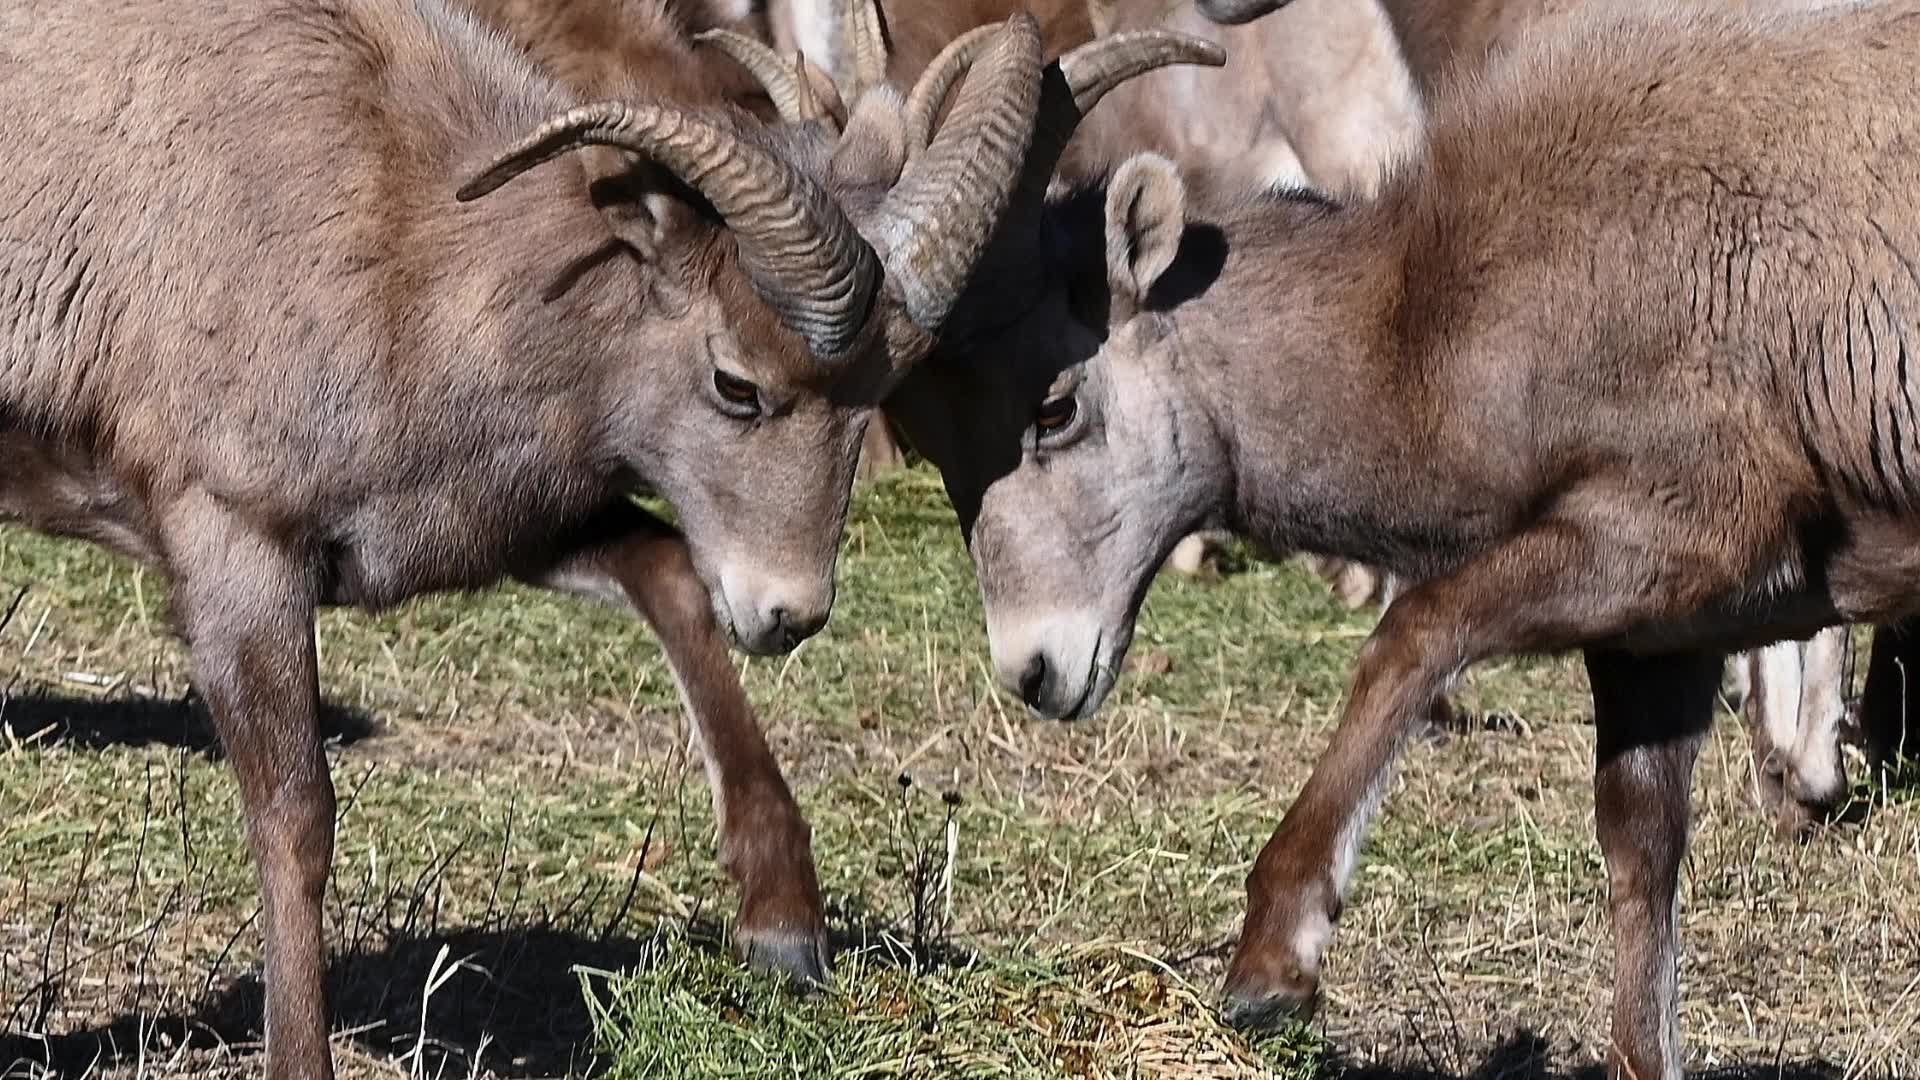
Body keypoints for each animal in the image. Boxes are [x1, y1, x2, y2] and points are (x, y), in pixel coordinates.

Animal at [0, 1, 1064, 1074]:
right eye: (737, 384)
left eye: (879, 395)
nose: (789, 613)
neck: (403, 237)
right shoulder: (237, 556)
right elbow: (297, 822)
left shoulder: (507, 532)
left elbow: (669, 575)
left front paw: (782, 932)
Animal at [883, 2, 1920, 1076]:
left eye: (1054, 408)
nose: (1035, 669)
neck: (1432, 313)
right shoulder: (1660, 639)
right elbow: (1641, 846)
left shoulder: (1681, 541)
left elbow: (1411, 636)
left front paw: (1272, 969)